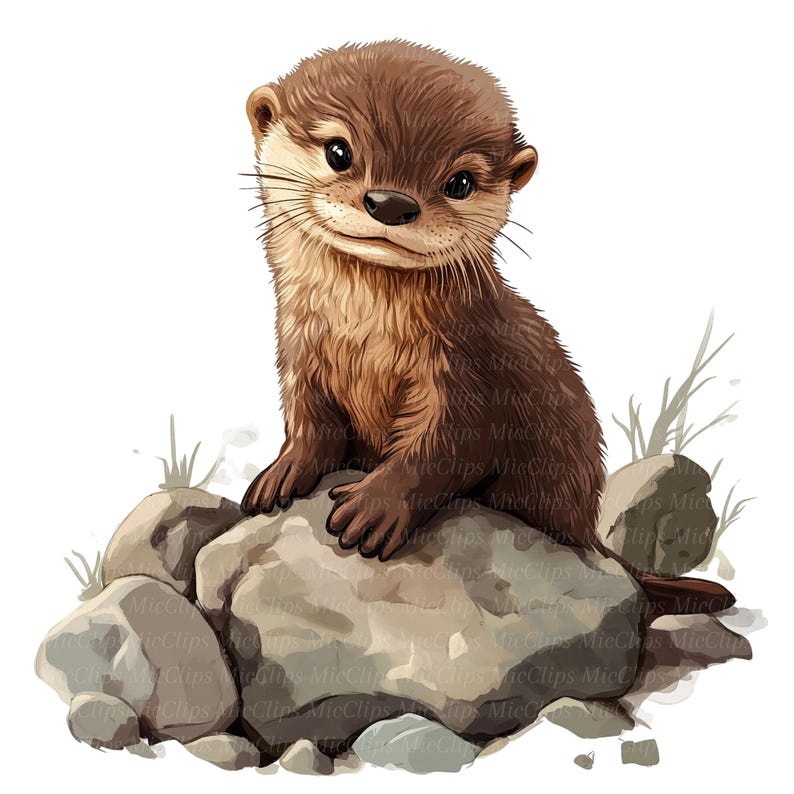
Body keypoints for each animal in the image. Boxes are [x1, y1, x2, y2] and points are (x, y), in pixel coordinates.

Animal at [240, 41, 734, 616]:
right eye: (338, 151)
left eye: (460, 182)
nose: (392, 202)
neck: (362, 333)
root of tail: (588, 531)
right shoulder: (299, 351)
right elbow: (309, 422)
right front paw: (282, 472)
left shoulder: (474, 370)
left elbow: (445, 449)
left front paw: (376, 506)